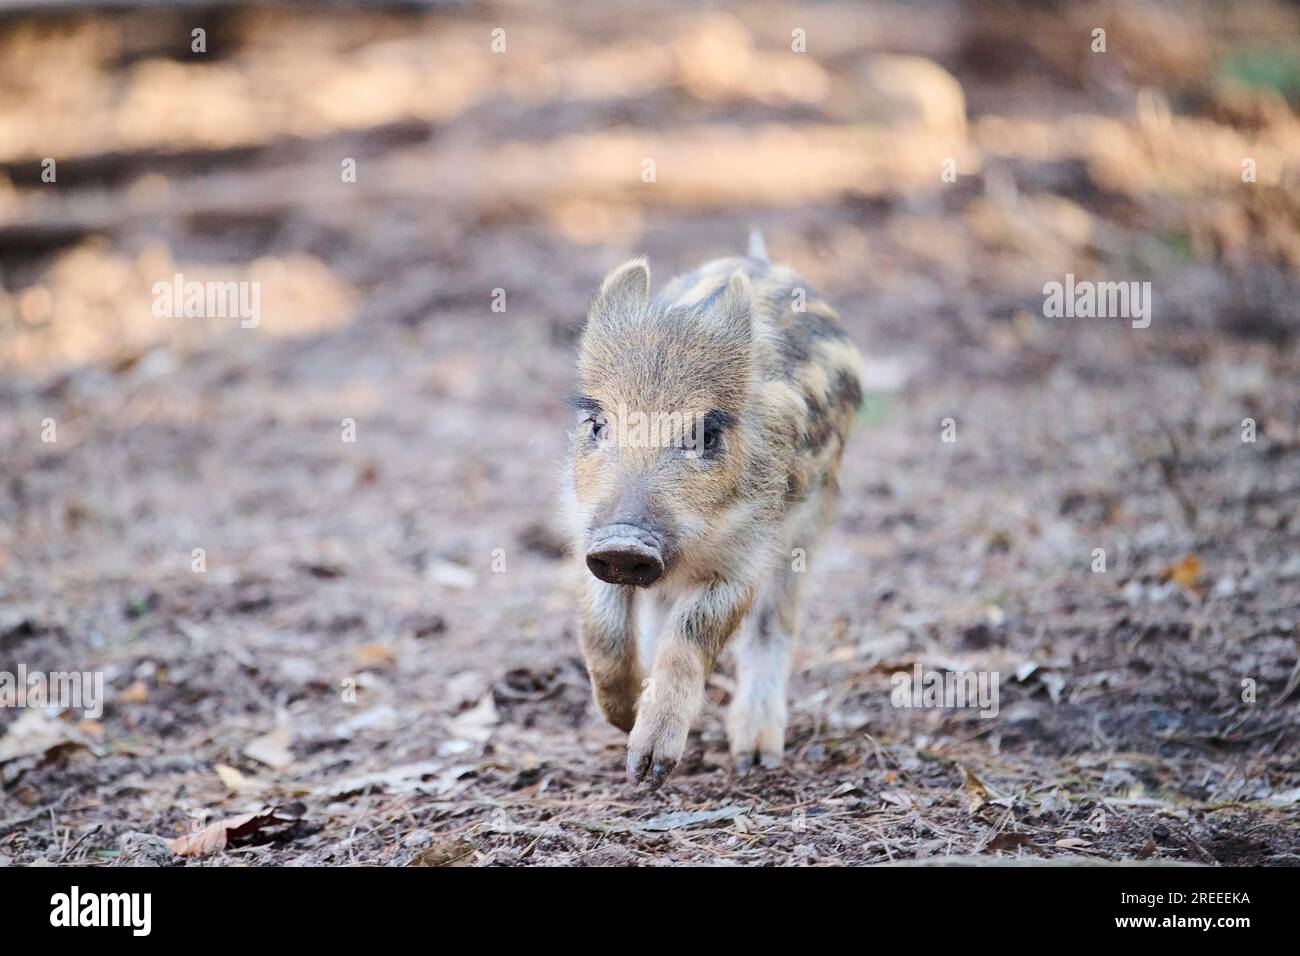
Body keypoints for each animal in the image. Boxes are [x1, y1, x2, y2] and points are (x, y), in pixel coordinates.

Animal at [562, 230, 862, 788]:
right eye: (597, 423)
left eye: (705, 434)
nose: (626, 543)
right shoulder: (587, 535)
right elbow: (602, 634)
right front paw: (624, 721)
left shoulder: (747, 554)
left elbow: (691, 639)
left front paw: (650, 769)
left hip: (812, 523)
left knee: (773, 624)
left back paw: (756, 755)